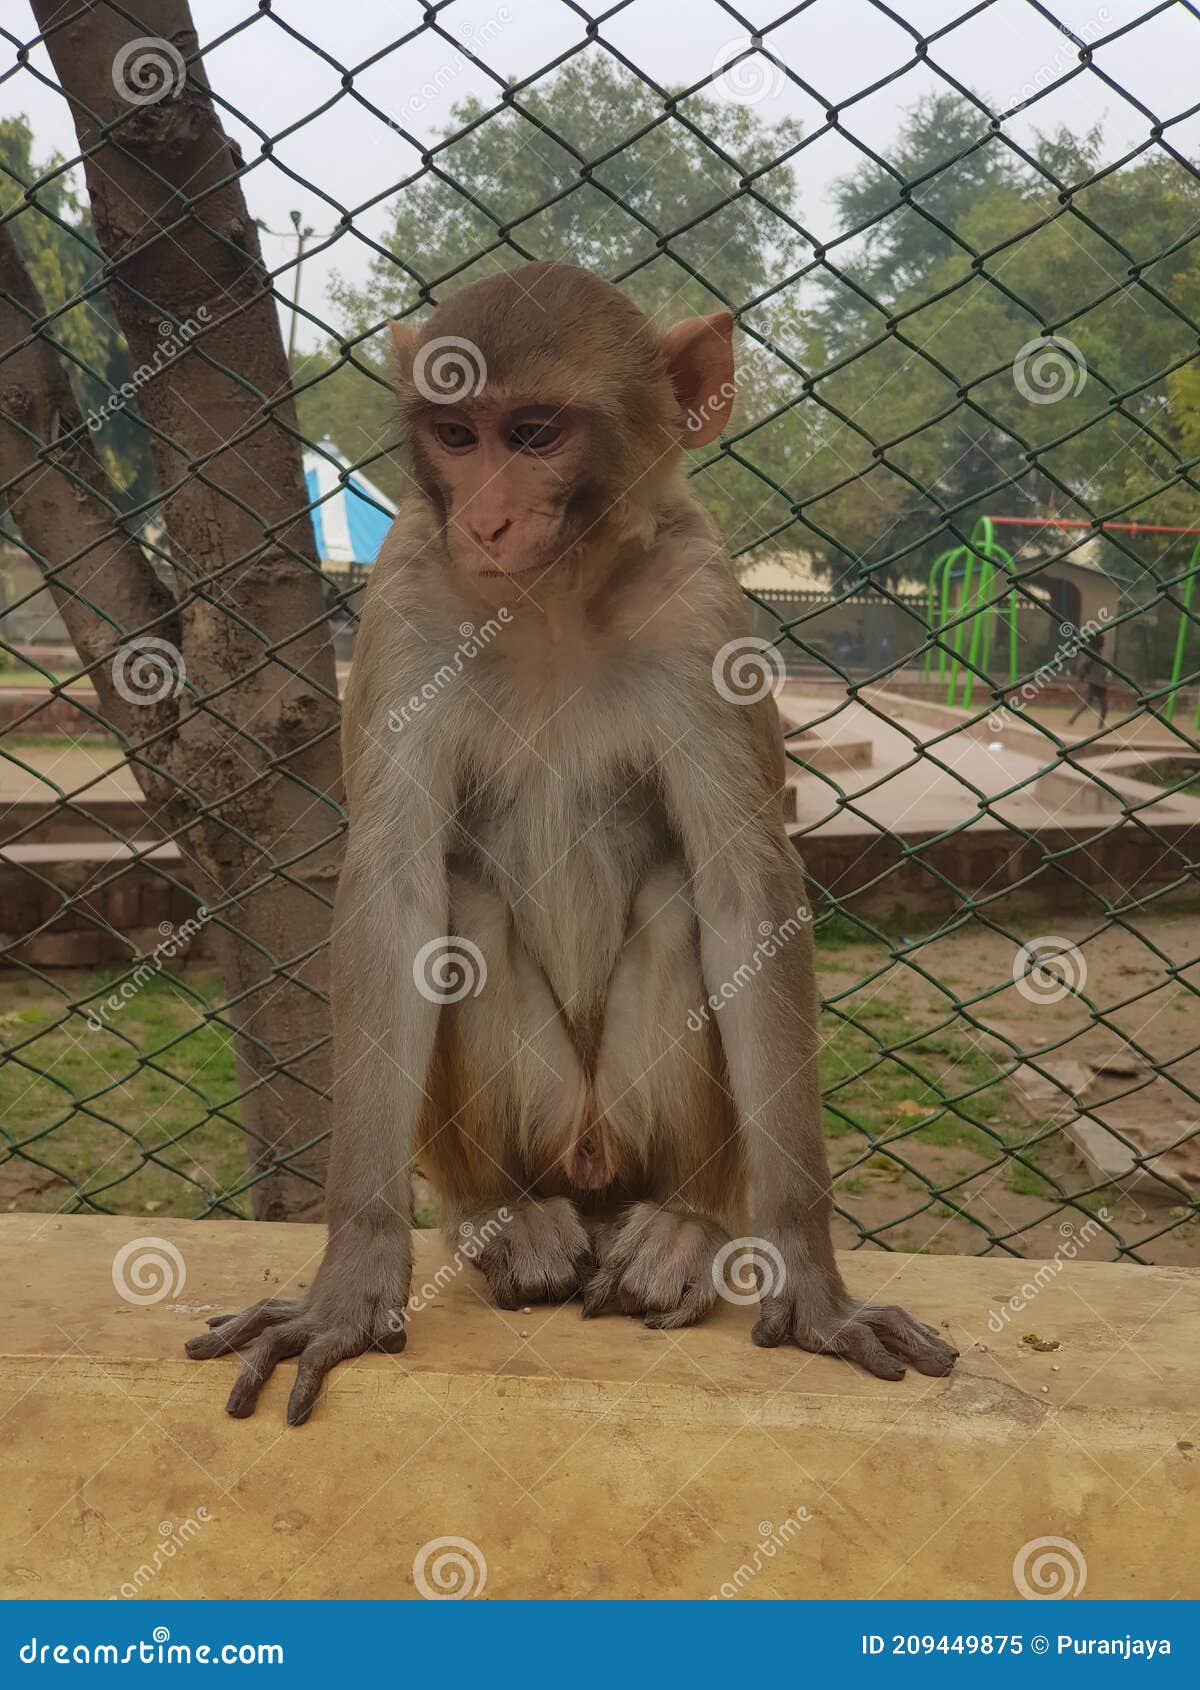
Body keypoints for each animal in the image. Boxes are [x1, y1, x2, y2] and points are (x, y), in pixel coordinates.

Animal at [186, 261, 957, 1423]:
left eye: (535, 433)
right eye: (457, 434)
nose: (487, 519)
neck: (549, 600)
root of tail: (586, 1167)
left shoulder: (701, 605)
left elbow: (745, 894)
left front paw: (814, 1283)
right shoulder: (404, 591)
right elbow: (395, 895)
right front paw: (351, 1283)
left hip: (626, 1126)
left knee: (685, 906)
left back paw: (684, 1224)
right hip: (527, 1121)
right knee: (458, 908)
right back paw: (501, 1219)